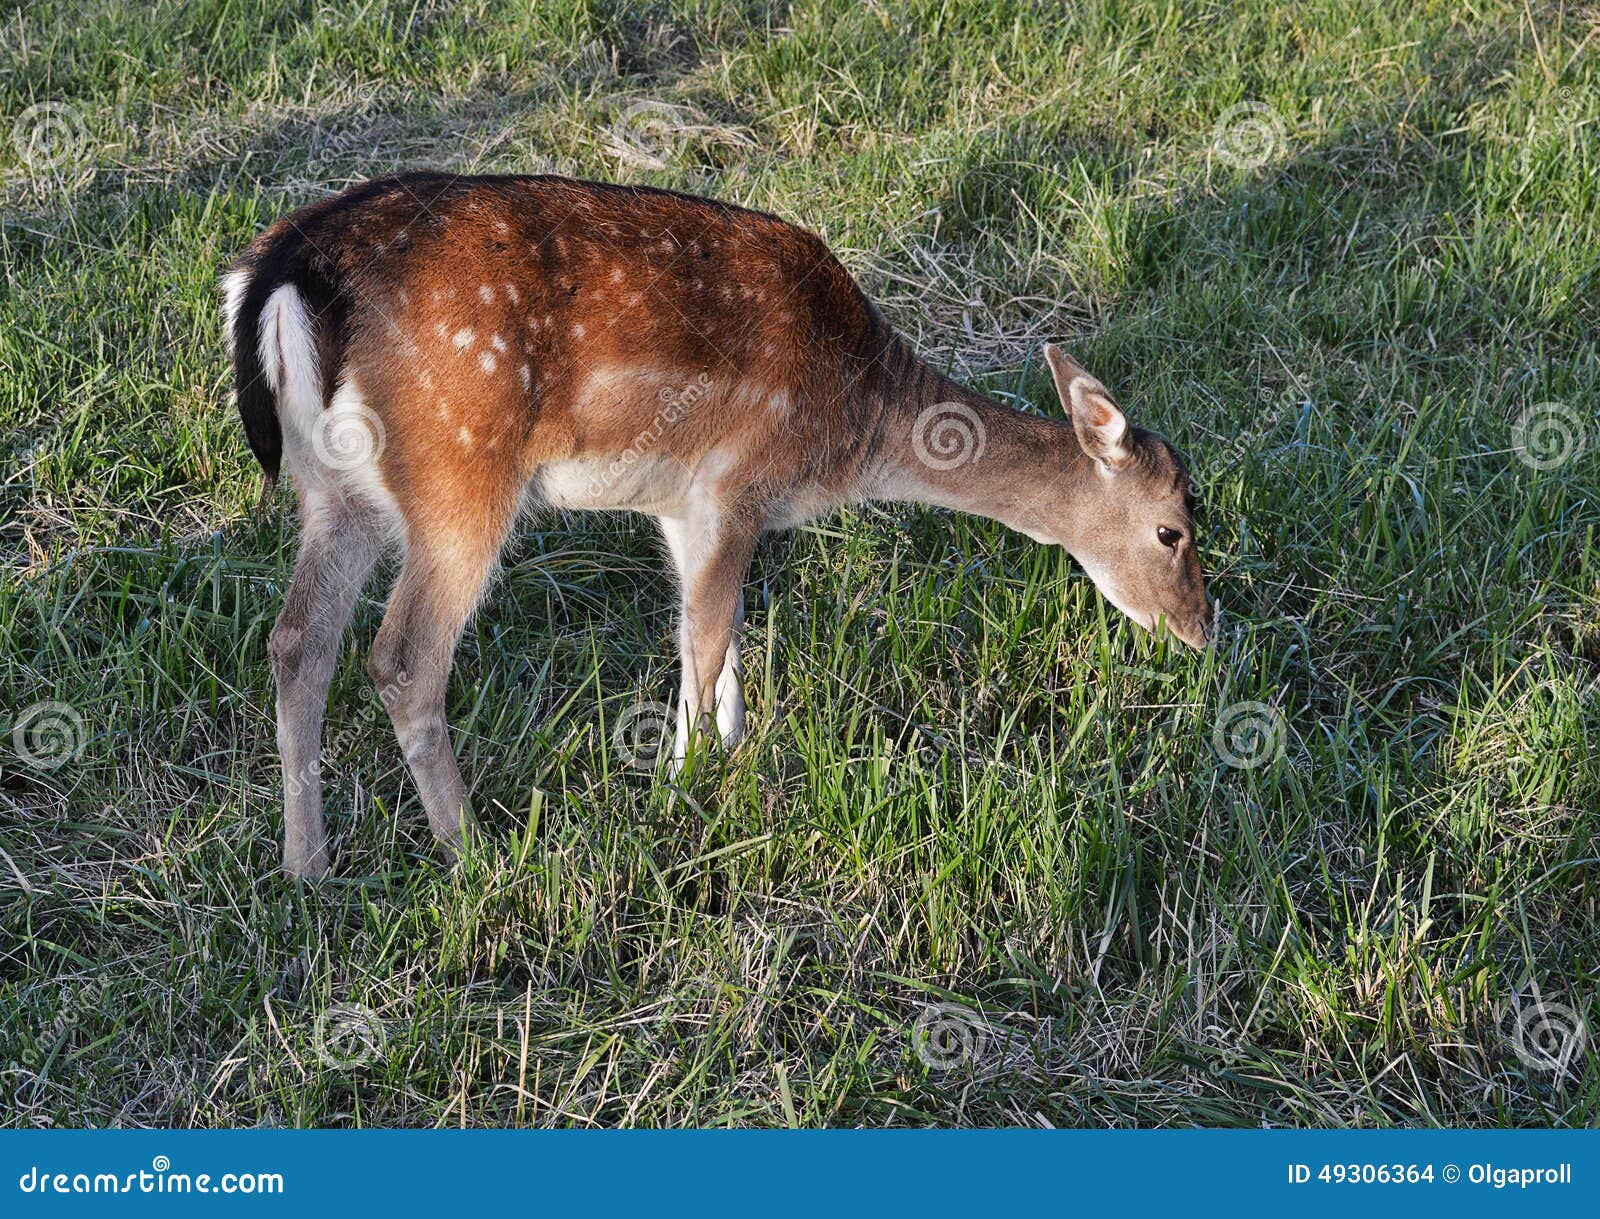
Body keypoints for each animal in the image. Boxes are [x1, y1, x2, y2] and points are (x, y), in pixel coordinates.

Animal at [224, 172, 1213, 880]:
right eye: (1174, 528)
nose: (1202, 632)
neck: (854, 425)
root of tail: (278, 279)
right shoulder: (734, 482)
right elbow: (701, 645)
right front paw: (685, 791)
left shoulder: (681, 506)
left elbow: (714, 629)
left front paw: (731, 748)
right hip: (458, 471)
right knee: (400, 657)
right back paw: (475, 852)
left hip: (334, 492)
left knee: (295, 639)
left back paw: (306, 864)